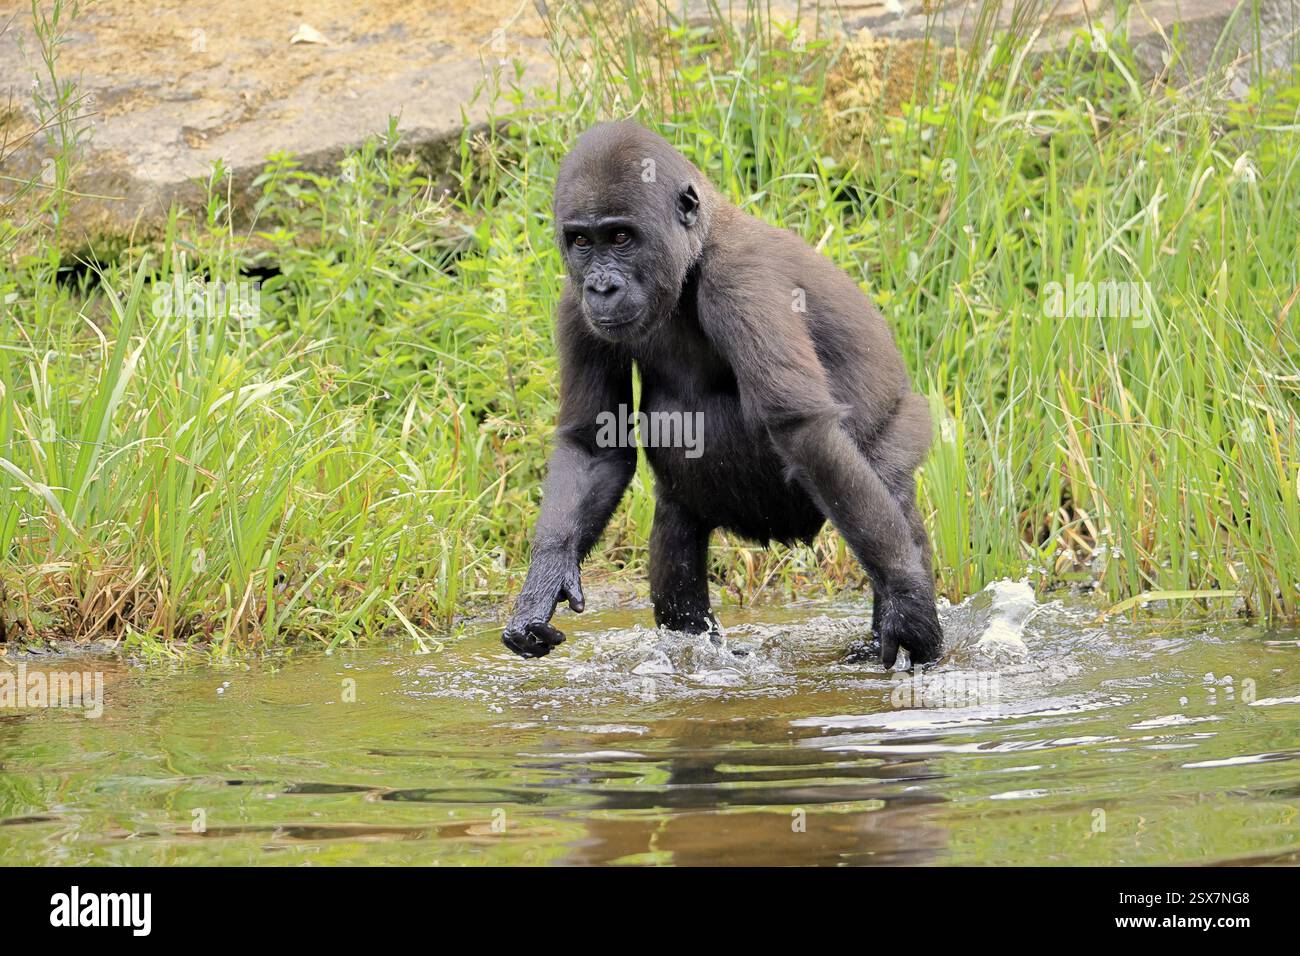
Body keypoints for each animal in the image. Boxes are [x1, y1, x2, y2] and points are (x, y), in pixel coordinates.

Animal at [501, 120, 942, 669]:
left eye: (621, 236)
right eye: (581, 241)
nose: (601, 288)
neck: (696, 250)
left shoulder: (741, 280)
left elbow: (802, 427)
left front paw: (908, 604)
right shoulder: (572, 300)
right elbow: (593, 443)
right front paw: (545, 578)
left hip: (906, 426)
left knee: (886, 486)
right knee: (676, 518)